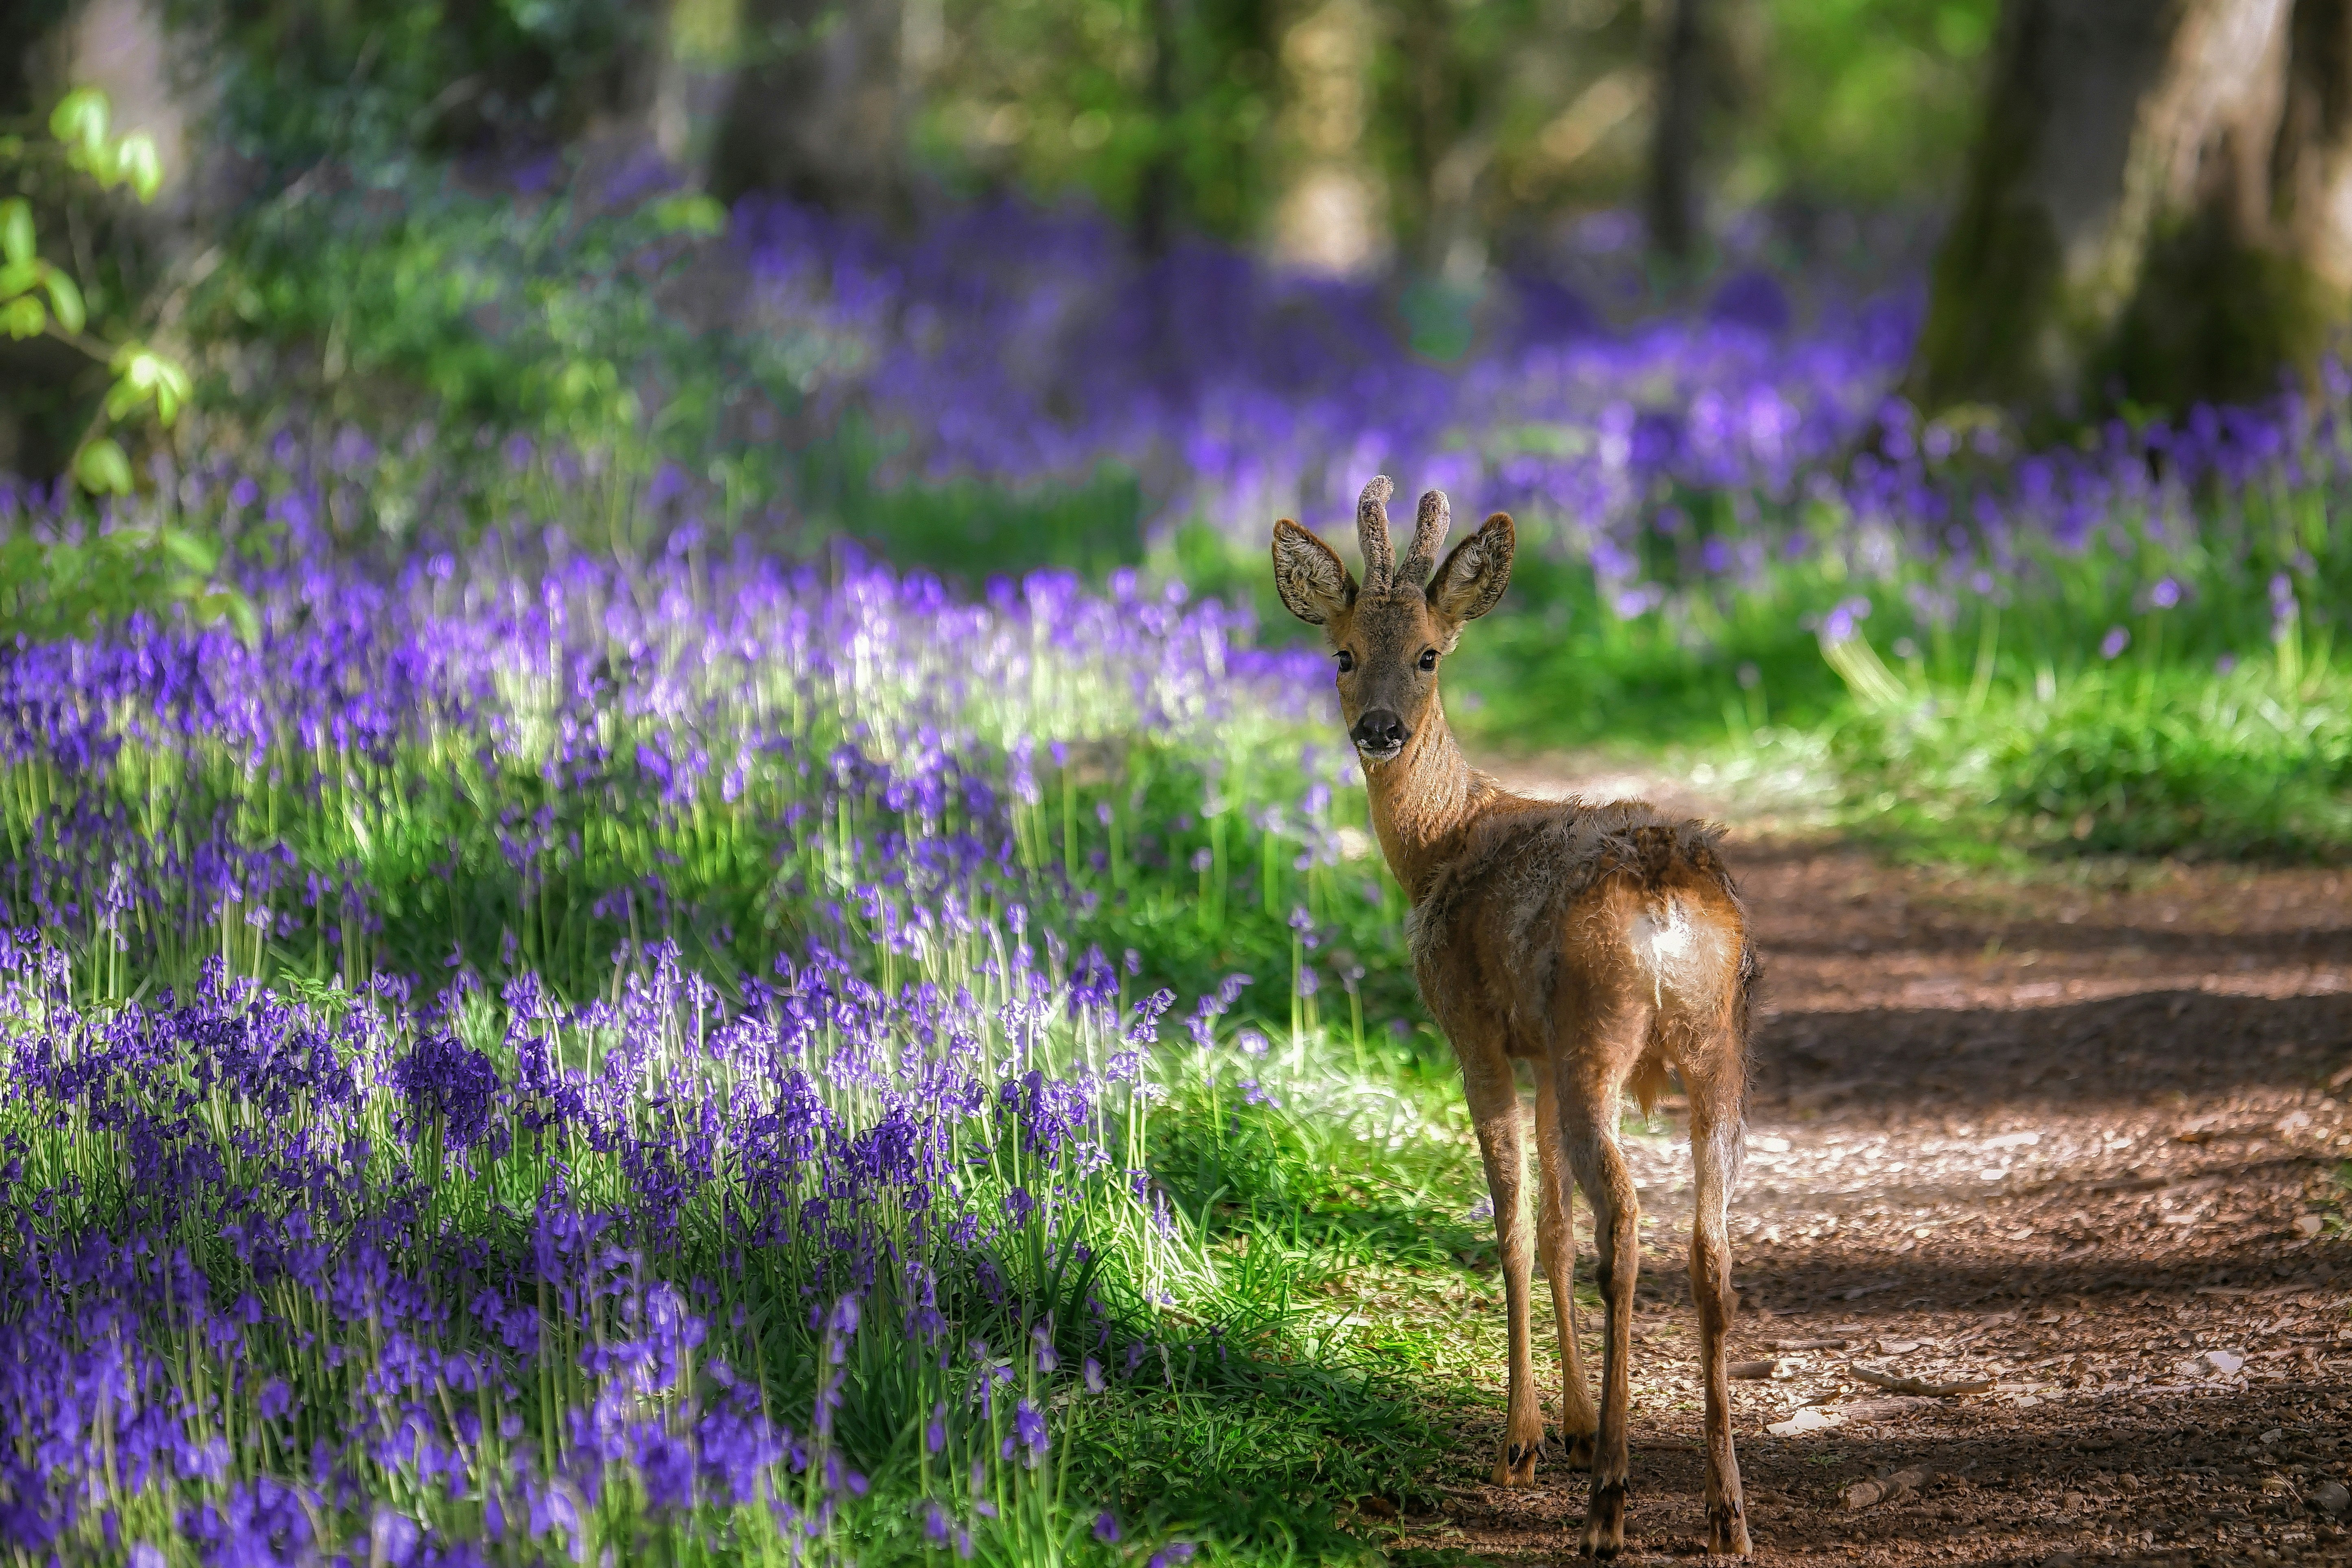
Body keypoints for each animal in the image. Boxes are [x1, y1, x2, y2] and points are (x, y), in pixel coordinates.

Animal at [1271, 476, 1759, 1559]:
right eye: (1340, 652)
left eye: (1428, 654)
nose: (1378, 728)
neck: (1439, 845)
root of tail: (1664, 896)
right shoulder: (1533, 1045)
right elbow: (1552, 1220)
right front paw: (1571, 1428)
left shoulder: (1475, 1032)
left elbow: (1513, 1224)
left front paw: (1526, 1442)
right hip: (1716, 1051)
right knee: (1709, 1244)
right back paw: (1725, 1512)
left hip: (1598, 1038)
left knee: (1626, 1221)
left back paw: (1611, 1504)